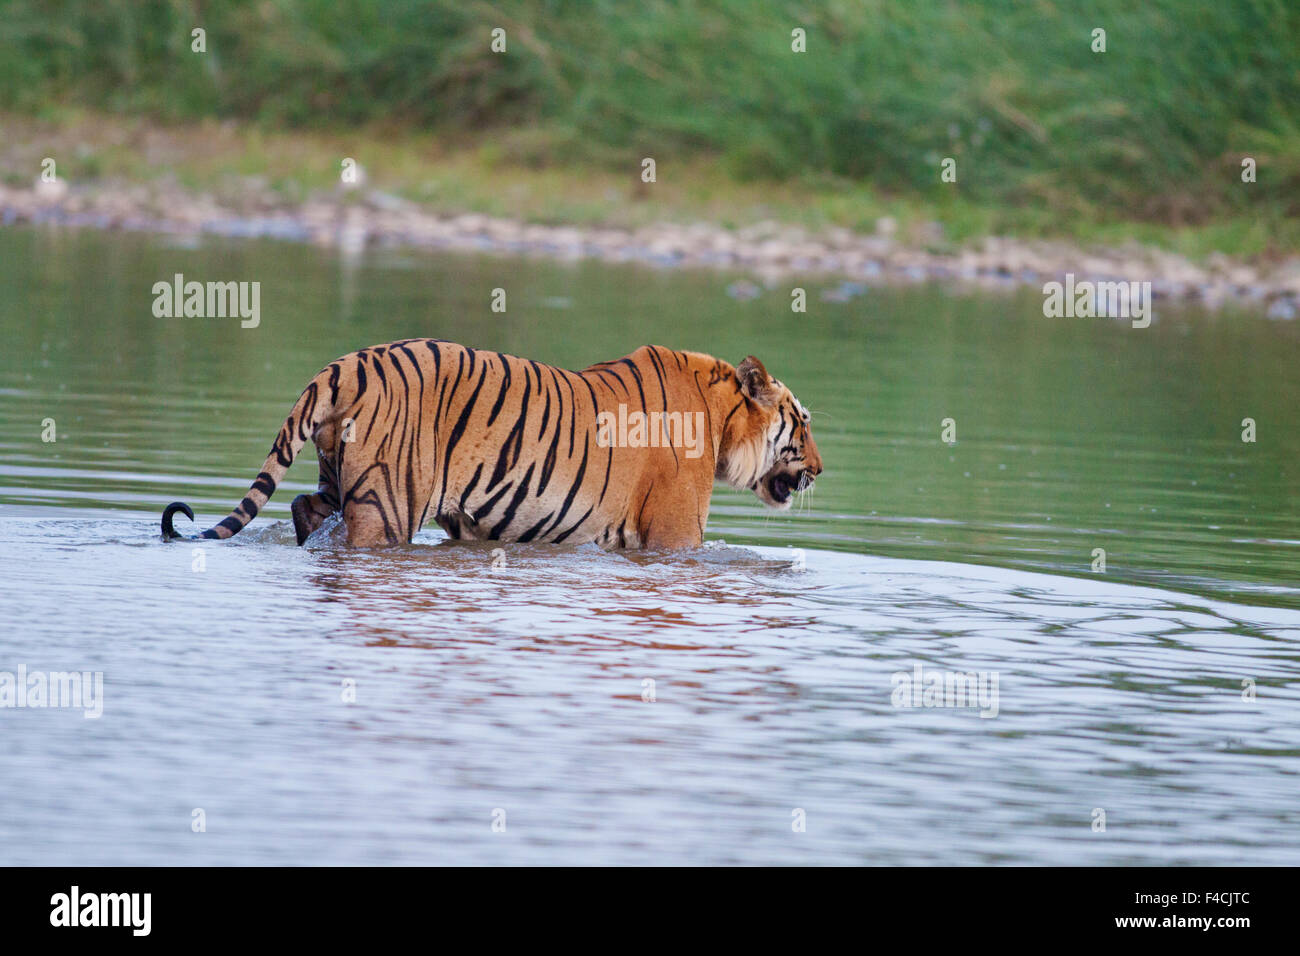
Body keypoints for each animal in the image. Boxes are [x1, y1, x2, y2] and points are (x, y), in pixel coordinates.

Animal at [161, 340, 822, 550]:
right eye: (804, 422)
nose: (819, 468)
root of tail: (345, 365)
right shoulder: (674, 537)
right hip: (388, 504)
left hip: (337, 475)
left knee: (303, 507)